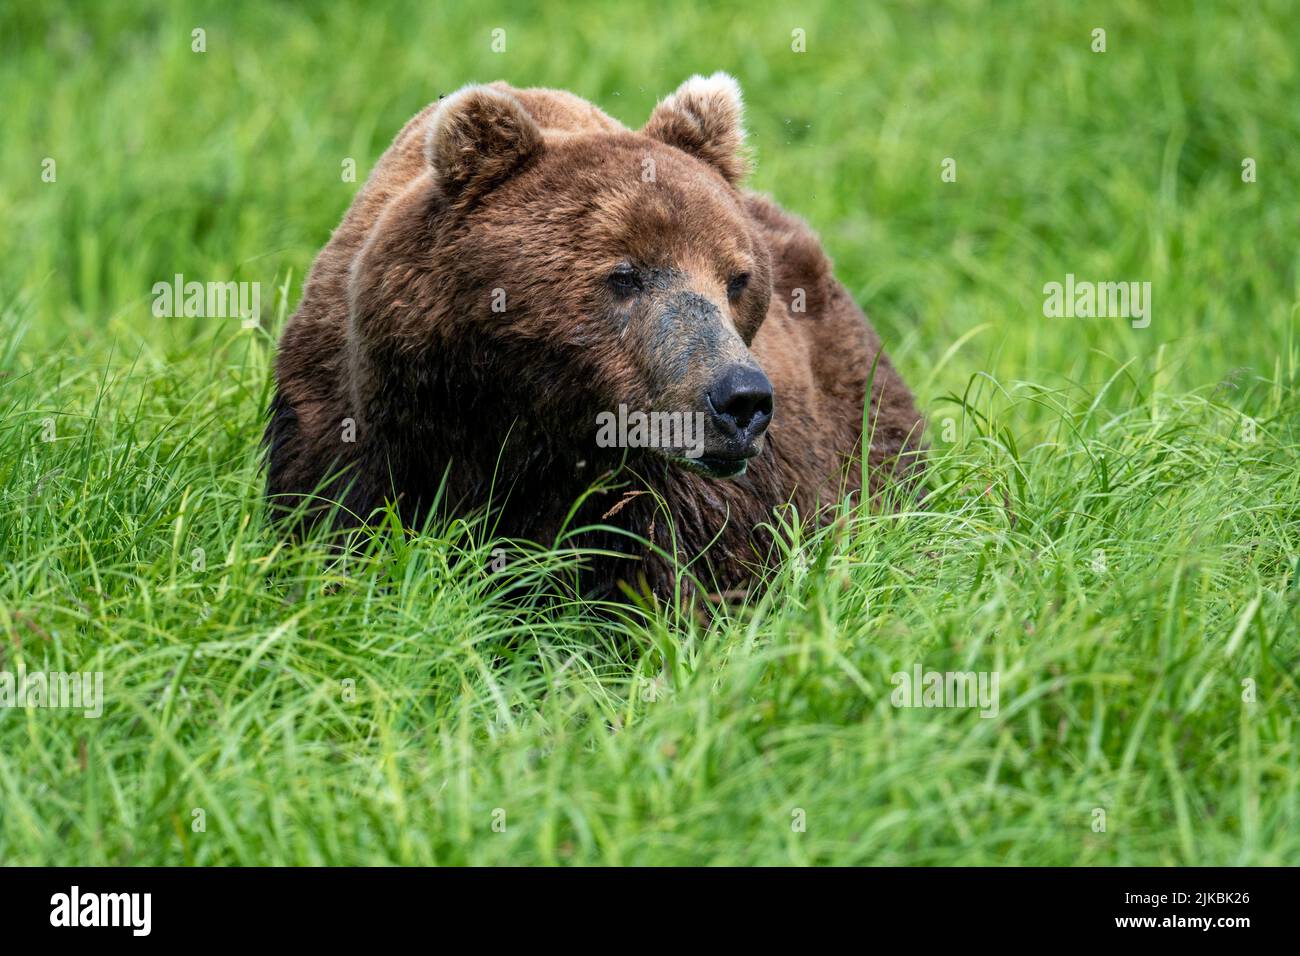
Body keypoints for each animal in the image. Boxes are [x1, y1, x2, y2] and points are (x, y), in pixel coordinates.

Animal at [266, 74, 926, 599]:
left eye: (736, 279)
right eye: (624, 274)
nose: (742, 399)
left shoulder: (651, 497)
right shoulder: (353, 426)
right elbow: (336, 531)